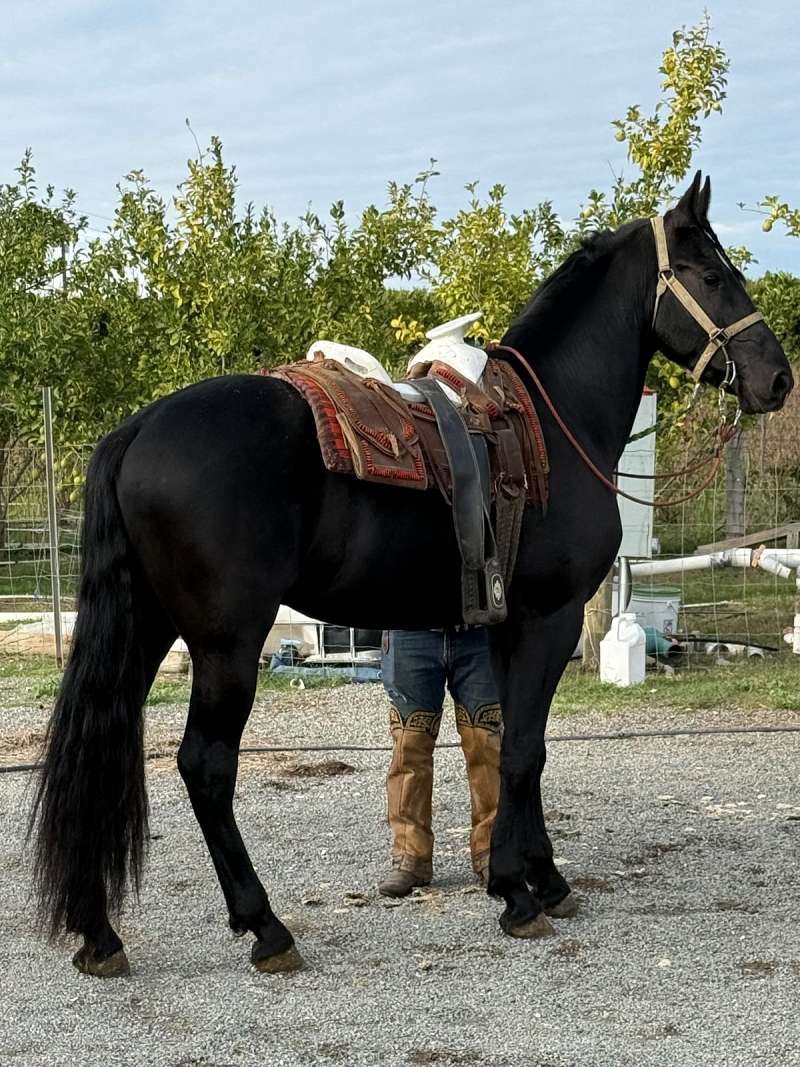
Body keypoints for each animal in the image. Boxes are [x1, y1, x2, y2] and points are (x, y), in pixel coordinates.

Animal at [30, 173, 792, 977]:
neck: (555, 421)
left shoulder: (505, 627)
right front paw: (519, 893)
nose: (778, 378)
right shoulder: (548, 619)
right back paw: (265, 925)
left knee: (103, 746)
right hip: (226, 642)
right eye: (713, 276)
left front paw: (537, 879)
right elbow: (525, 750)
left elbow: (509, 747)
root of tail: (139, 427)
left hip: (148, 625)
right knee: (205, 765)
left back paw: (99, 933)